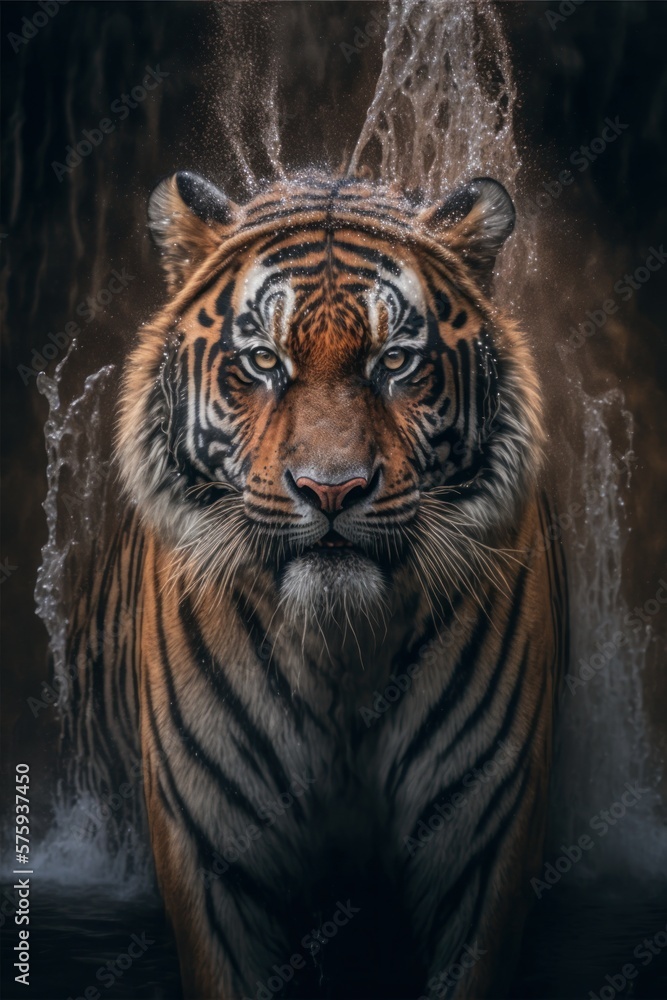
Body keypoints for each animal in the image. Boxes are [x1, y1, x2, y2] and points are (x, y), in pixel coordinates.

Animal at [64, 170, 567, 999]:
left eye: (393, 362)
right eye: (266, 361)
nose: (332, 490)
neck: (341, 652)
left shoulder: (482, 828)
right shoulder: (211, 838)